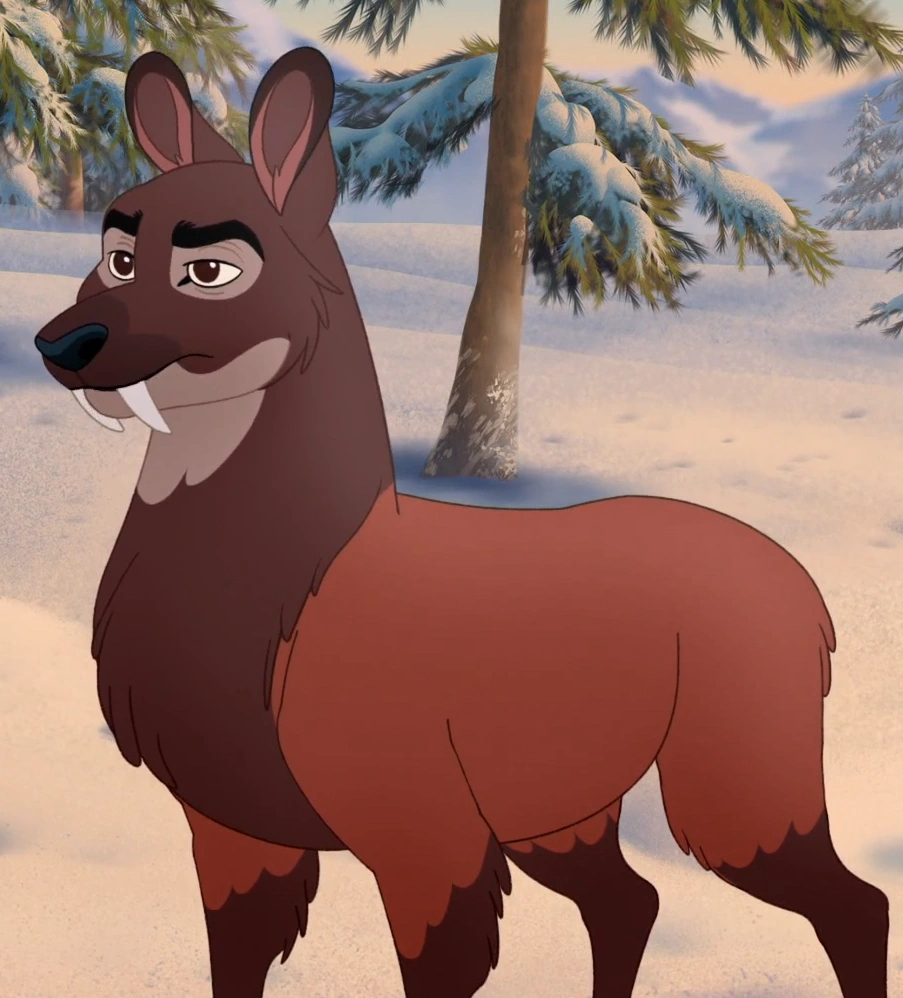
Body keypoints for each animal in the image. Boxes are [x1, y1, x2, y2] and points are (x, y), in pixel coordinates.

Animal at [32, 45, 888, 998]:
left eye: (209, 270)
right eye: (115, 254)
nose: (62, 343)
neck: (289, 608)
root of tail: (809, 598)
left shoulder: (422, 818)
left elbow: (440, 965)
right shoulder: (234, 825)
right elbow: (237, 961)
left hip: (735, 770)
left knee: (852, 902)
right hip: (561, 797)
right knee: (631, 901)